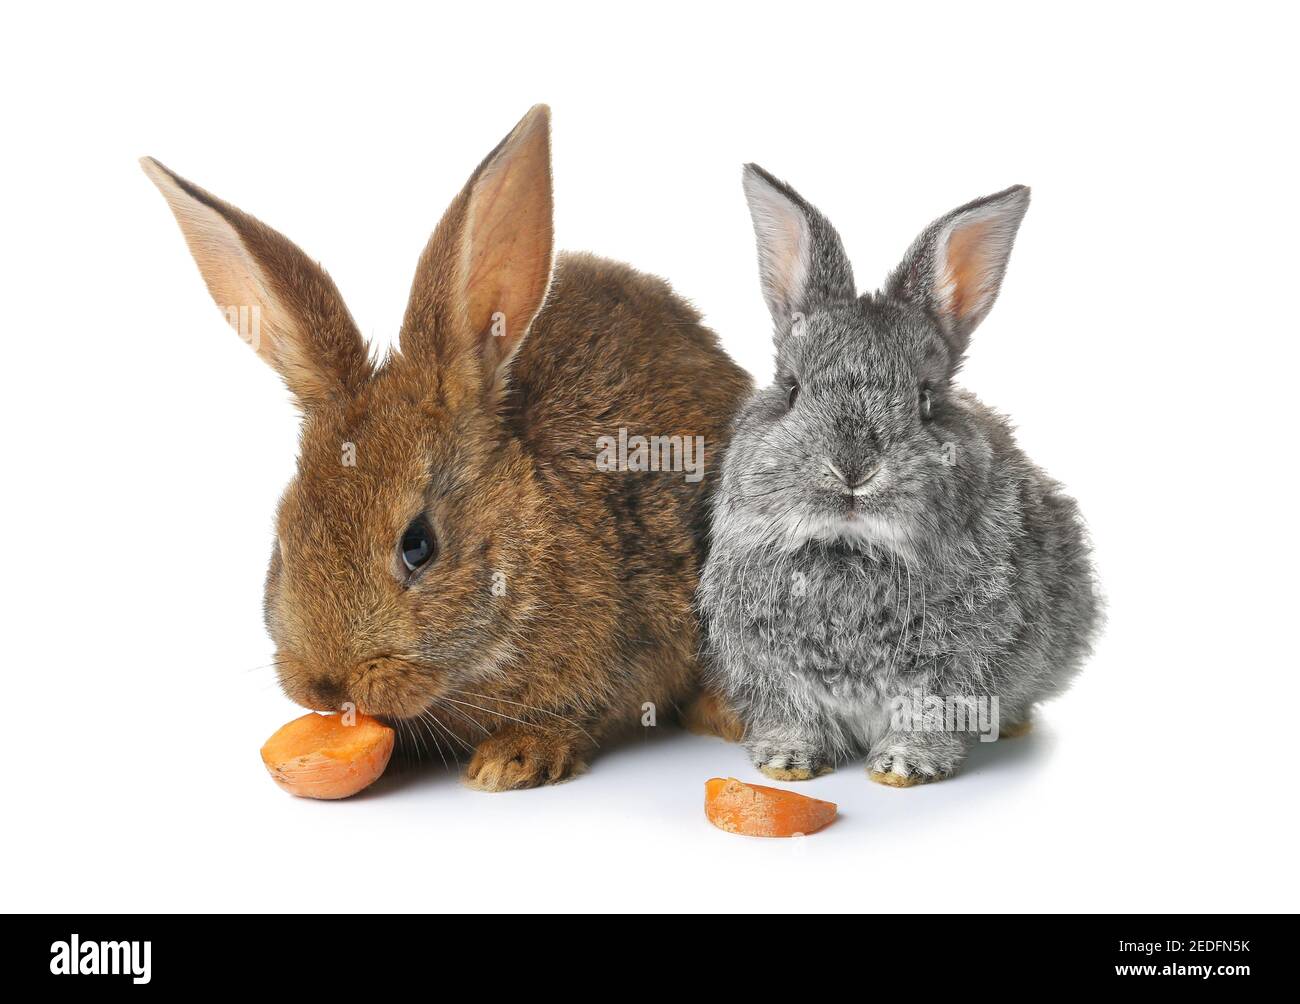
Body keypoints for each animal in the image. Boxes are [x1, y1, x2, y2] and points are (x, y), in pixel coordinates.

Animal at [698, 165, 1102, 786]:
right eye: (791, 390)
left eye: (926, 399)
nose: (853, 469)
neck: (849, 550)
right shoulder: (771, 671)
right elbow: (794, 713)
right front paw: (787, 762)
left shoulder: (956, 671)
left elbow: (929, 715)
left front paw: (903, 767)